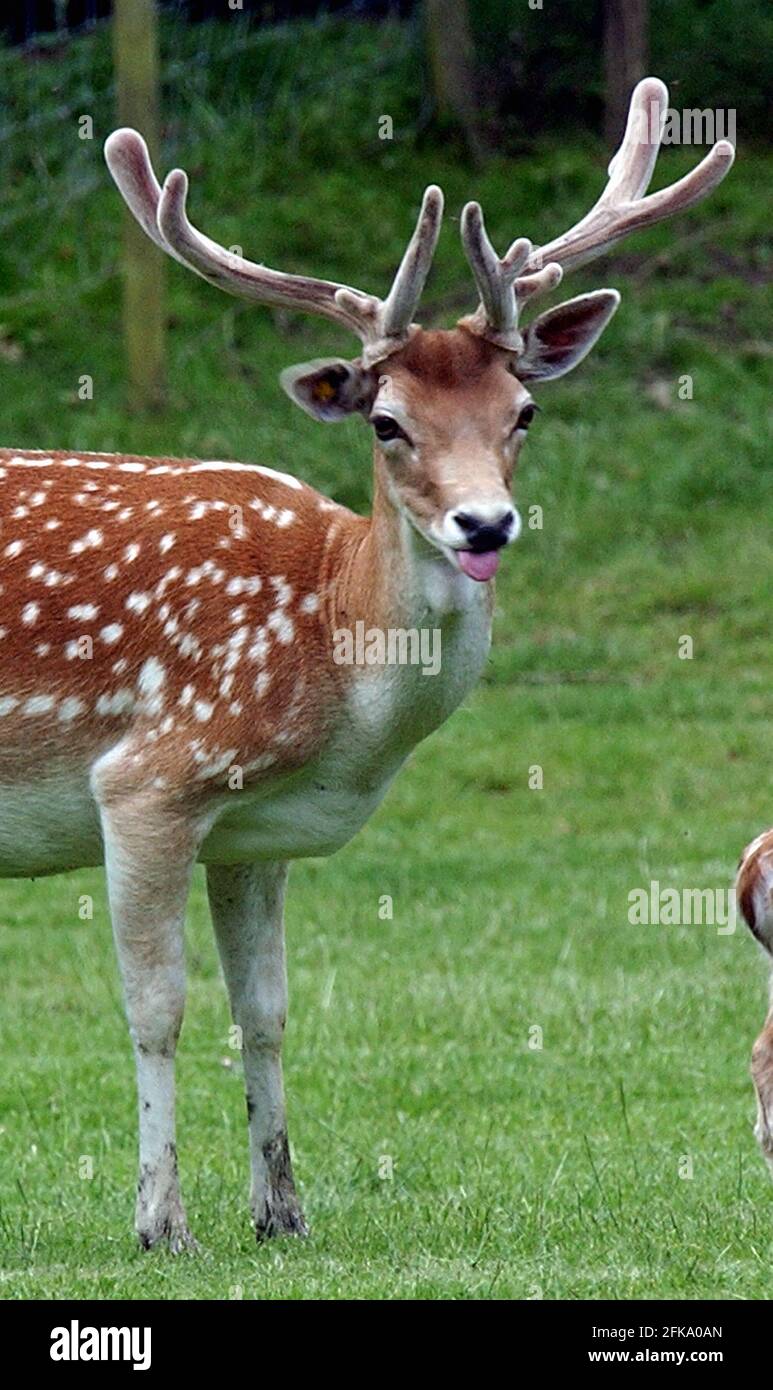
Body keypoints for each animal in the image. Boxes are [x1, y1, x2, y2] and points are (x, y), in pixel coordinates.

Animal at [0, 78, 732, 1250]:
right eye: (386, 422)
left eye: (523, 412)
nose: (485, 524)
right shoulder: (149, 779)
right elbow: (158, 1007)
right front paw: (162, 1223)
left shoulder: (252, 832)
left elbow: (265, 1011)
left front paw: (281, 1211)